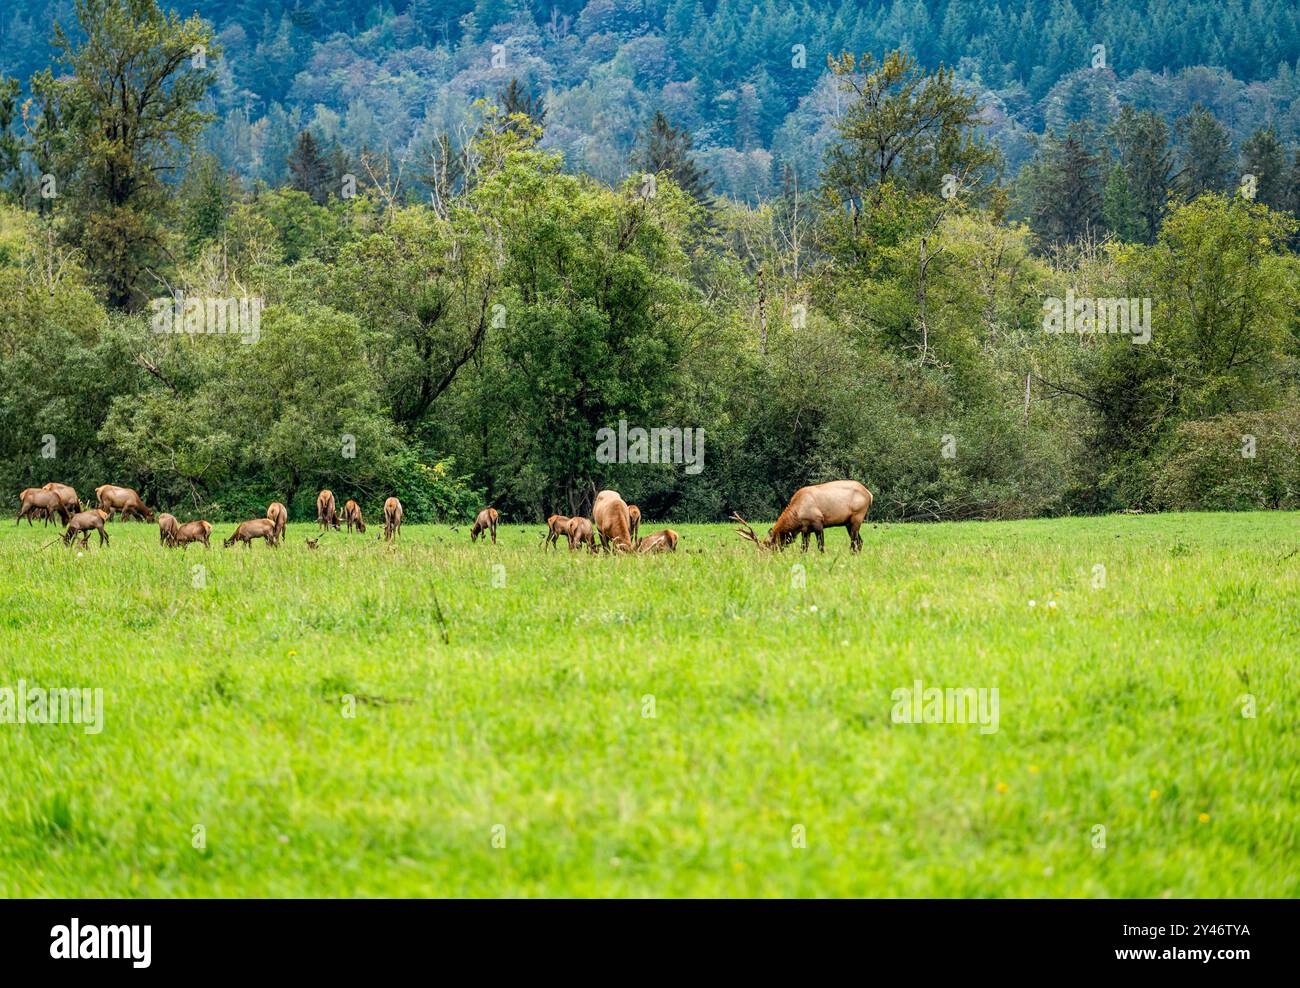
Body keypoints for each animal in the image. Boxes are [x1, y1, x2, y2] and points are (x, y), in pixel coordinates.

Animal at [733, 480, 873, 554]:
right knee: (860, 541)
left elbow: (821, 546)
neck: (797, 516)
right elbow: (803, 549)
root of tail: (869, 494)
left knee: (854, 542)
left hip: (857, 518)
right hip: (848, 523)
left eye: (767, 546)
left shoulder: (818, 523)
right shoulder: (806, 530)